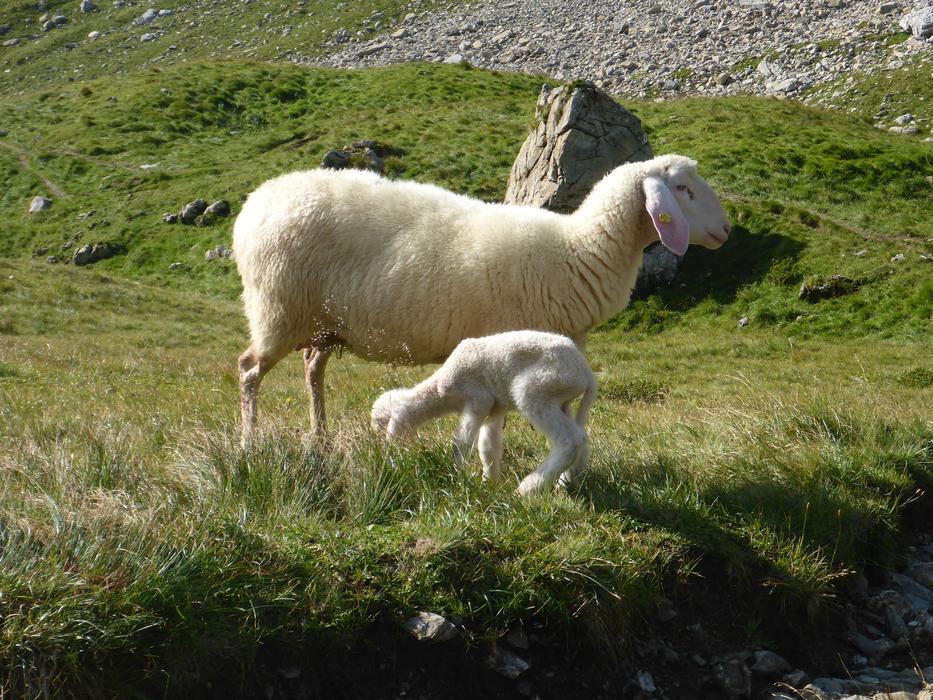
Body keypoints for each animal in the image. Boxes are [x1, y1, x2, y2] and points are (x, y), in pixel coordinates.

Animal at [233, 153, 731, 443]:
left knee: (311, 370)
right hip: (277, 310)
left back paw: (320, 437)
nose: (726, 229)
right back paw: (249, 443)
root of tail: (256, 202)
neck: (576, 250)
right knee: (249, 370)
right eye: (683, 189)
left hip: (322, 323)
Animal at [370, 330, 597, 495]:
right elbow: (488, 447)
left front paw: (457, 476)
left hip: (538, 390)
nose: (394, 461)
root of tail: (586, 372)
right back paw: (566, 481)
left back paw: (528, 489)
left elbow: (461, 444)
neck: (440, 390)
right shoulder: (494, 409)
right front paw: (490, 482)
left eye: (391, 432)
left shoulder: (478, 399)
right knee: (582, 438)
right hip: (561, 400)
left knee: (570, 440)